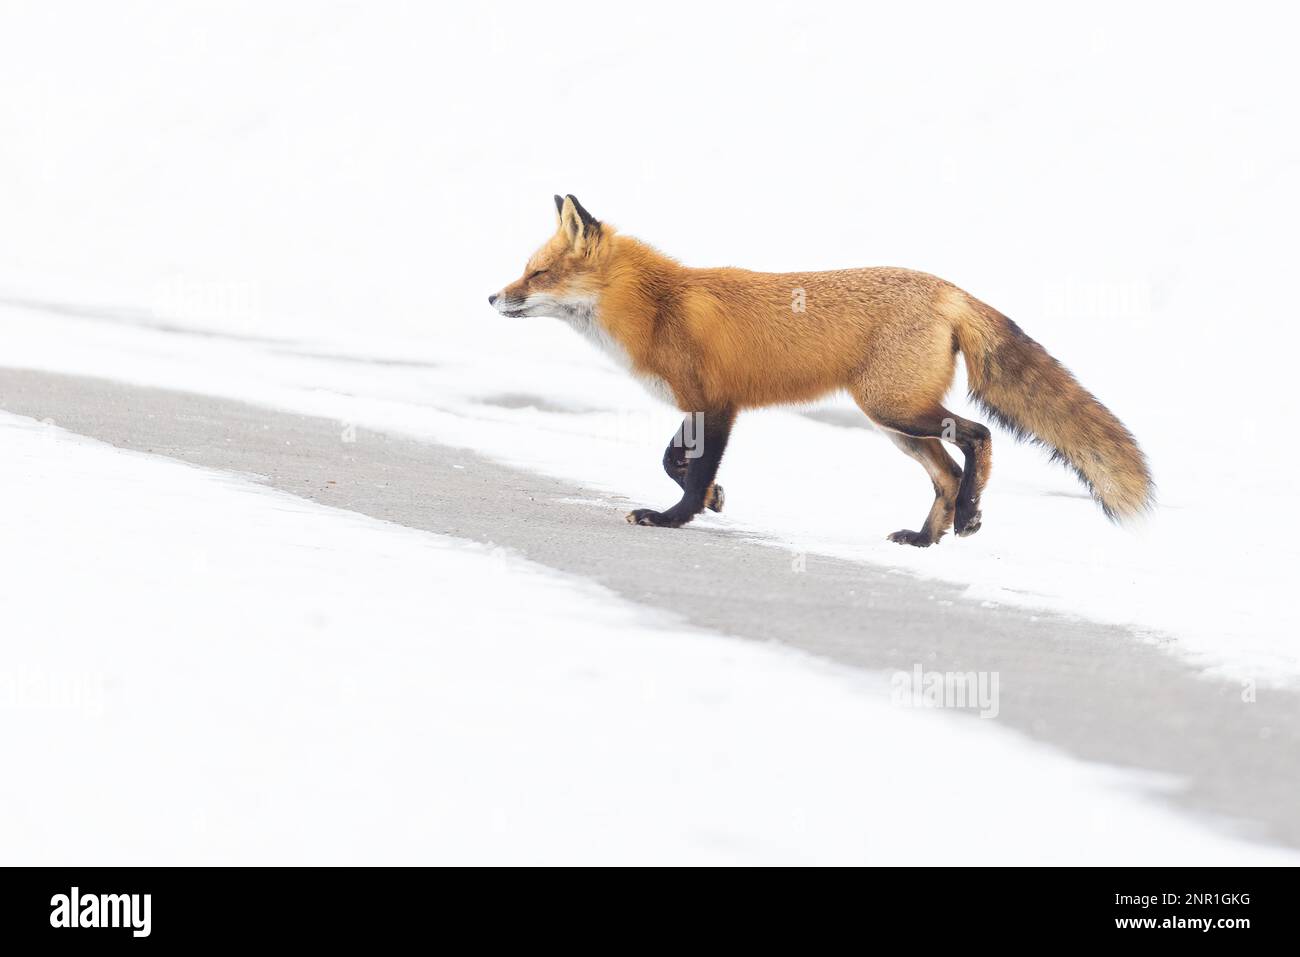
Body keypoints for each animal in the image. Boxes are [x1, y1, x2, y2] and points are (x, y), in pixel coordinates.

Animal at [489, 194, 1153, 546]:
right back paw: (927, 537)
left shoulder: (718, 404)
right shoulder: (700, 403)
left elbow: (689, 468)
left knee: (980, 437)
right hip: (896, 425)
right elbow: (675, 461)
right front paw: (713, 499)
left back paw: (968, 515)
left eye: (536, 274)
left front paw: (676, 516)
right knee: (944, 472)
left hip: (894, 409)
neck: (658, 307)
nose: (493, 298)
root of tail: (949, 289)